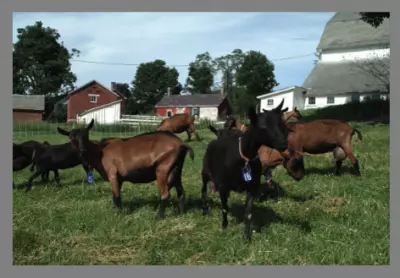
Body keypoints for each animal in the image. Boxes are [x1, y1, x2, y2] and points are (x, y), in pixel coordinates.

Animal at [57, 119, 195, 217]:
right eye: (71, 138)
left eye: (86, 136)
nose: (82, 150)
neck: (100, 152)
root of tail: (181, 143)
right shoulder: (119, 178)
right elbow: (116, 195)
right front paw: (115, 209)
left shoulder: (112, 174)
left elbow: (116, 195)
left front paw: (117, 214)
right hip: (176, 169)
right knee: (181, 192)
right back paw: (180, 214)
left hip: (163, 168)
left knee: (165, 194)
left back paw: (158, 216)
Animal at [200, 100, 290, 241]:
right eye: (262, 126)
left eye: (280, 123)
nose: (283, 144)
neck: (244, 158)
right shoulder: (222, 185)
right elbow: (224, 208)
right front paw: (224, 226)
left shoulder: (252, 188)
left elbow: (248, 213)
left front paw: (246, 236)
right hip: (205, 172)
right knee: (203, 189)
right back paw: (205, 210)